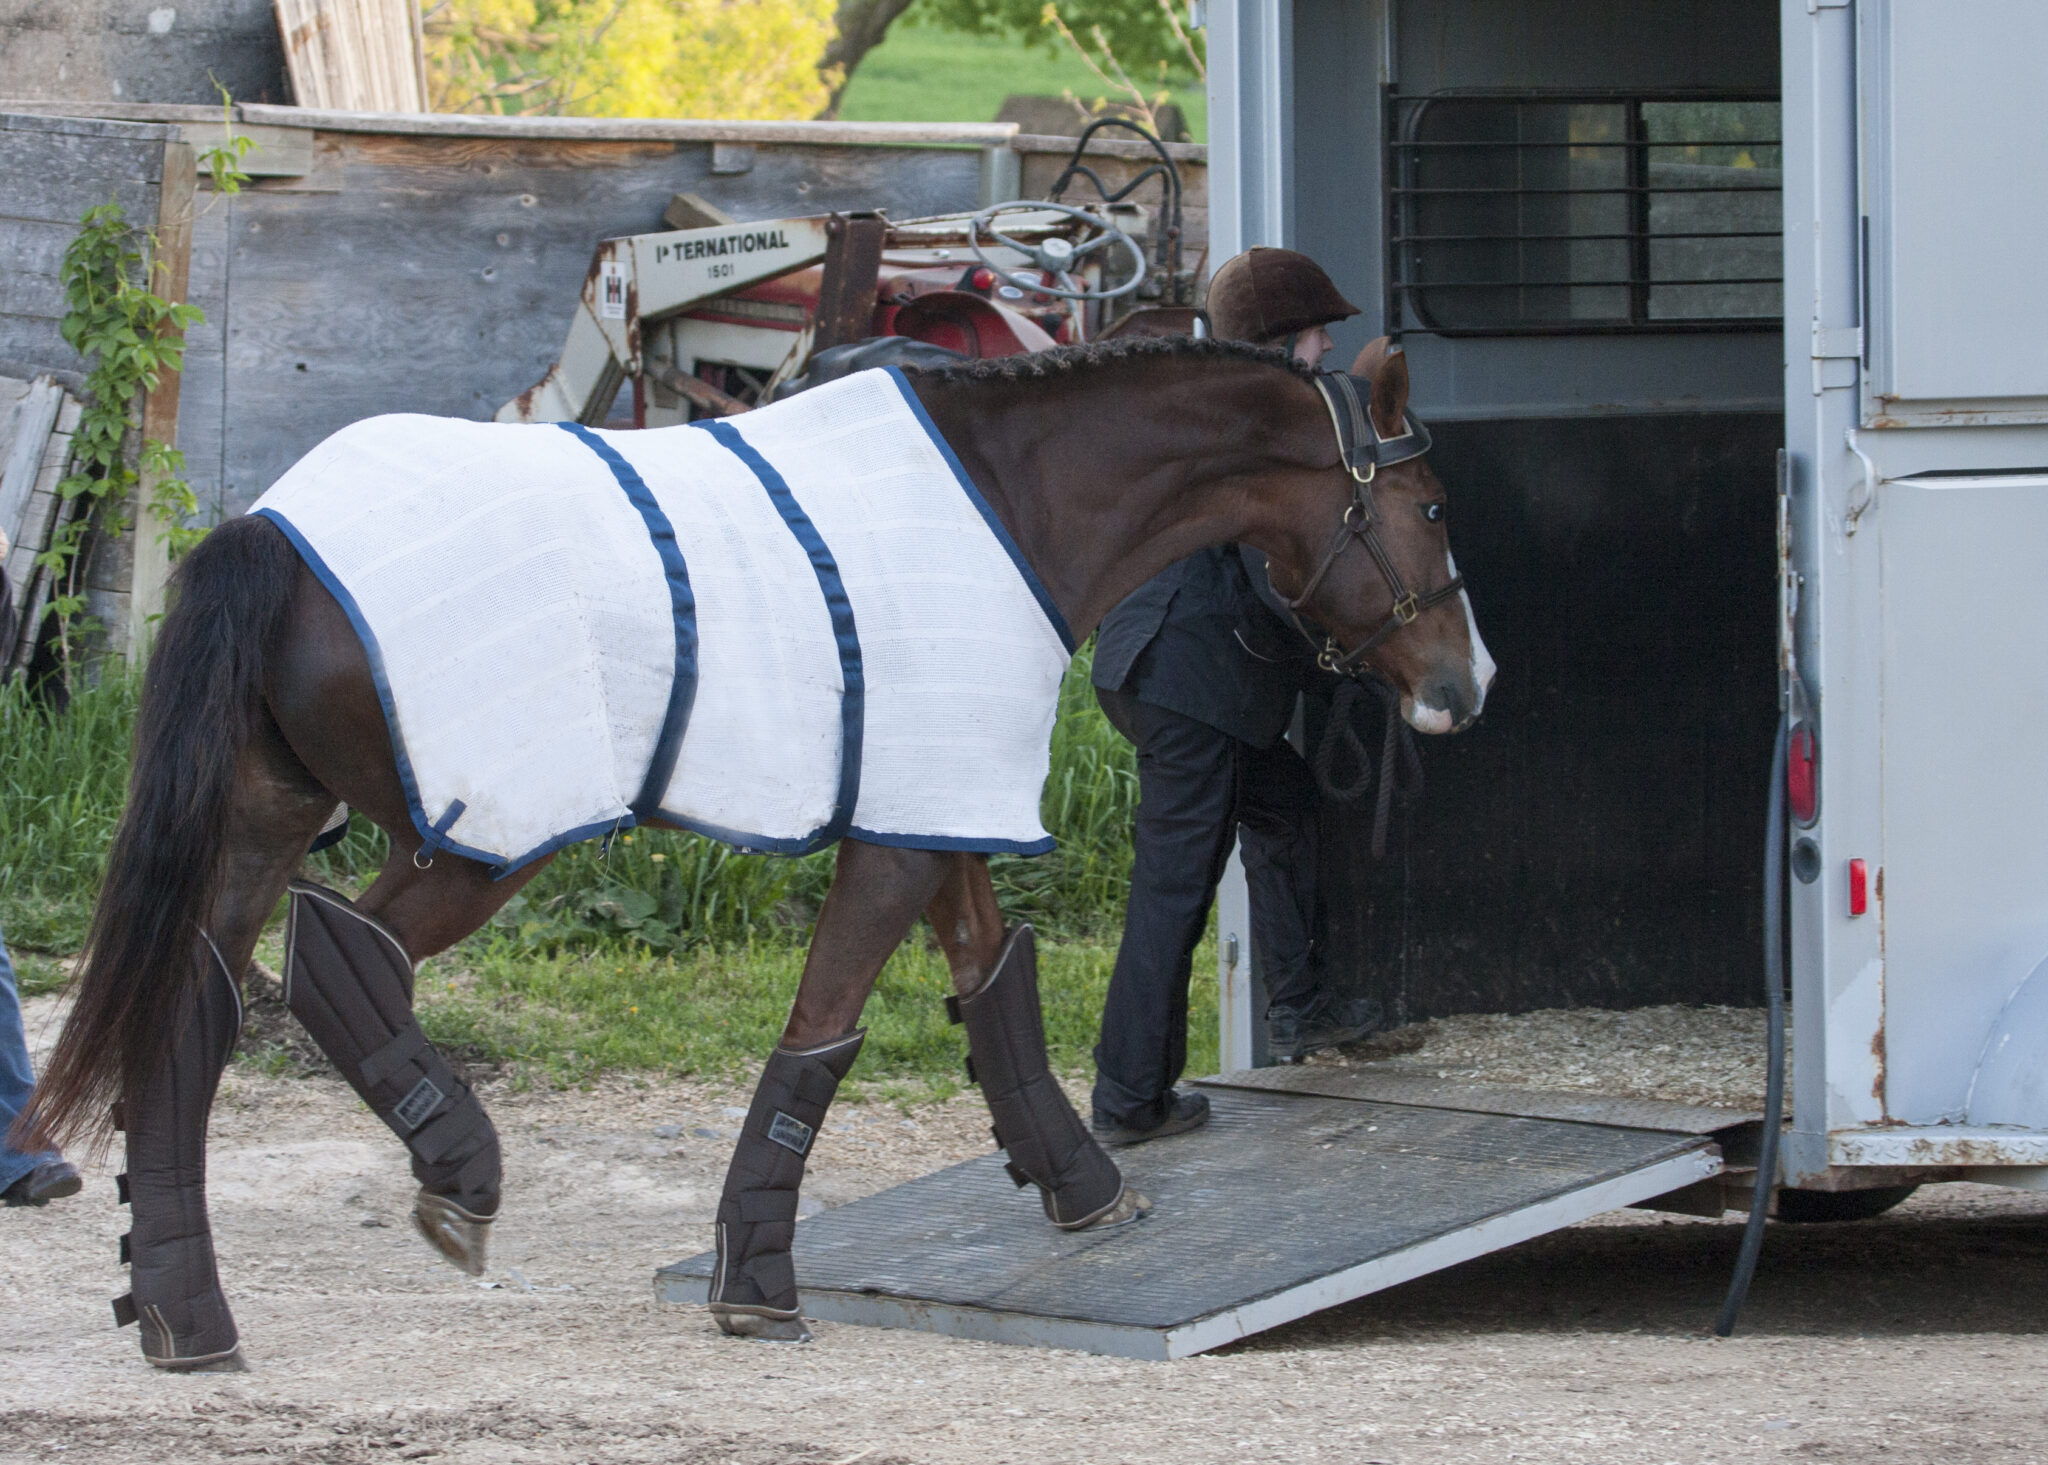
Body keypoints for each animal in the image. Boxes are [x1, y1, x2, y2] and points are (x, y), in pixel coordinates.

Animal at [18, 334, 1492, 1368]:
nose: (1464, 685)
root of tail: (269, 534)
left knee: (188, 1022)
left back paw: (185, 1315)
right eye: (1425, 504)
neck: (1013, 499)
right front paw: (757, 1284)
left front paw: (1081, 1186)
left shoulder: (931, 810)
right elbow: (819, 1034)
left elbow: (990, 985)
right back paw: (460, 1175)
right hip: (489, 838)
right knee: (343, 949)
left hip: (266, 822)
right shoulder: (892, 847)